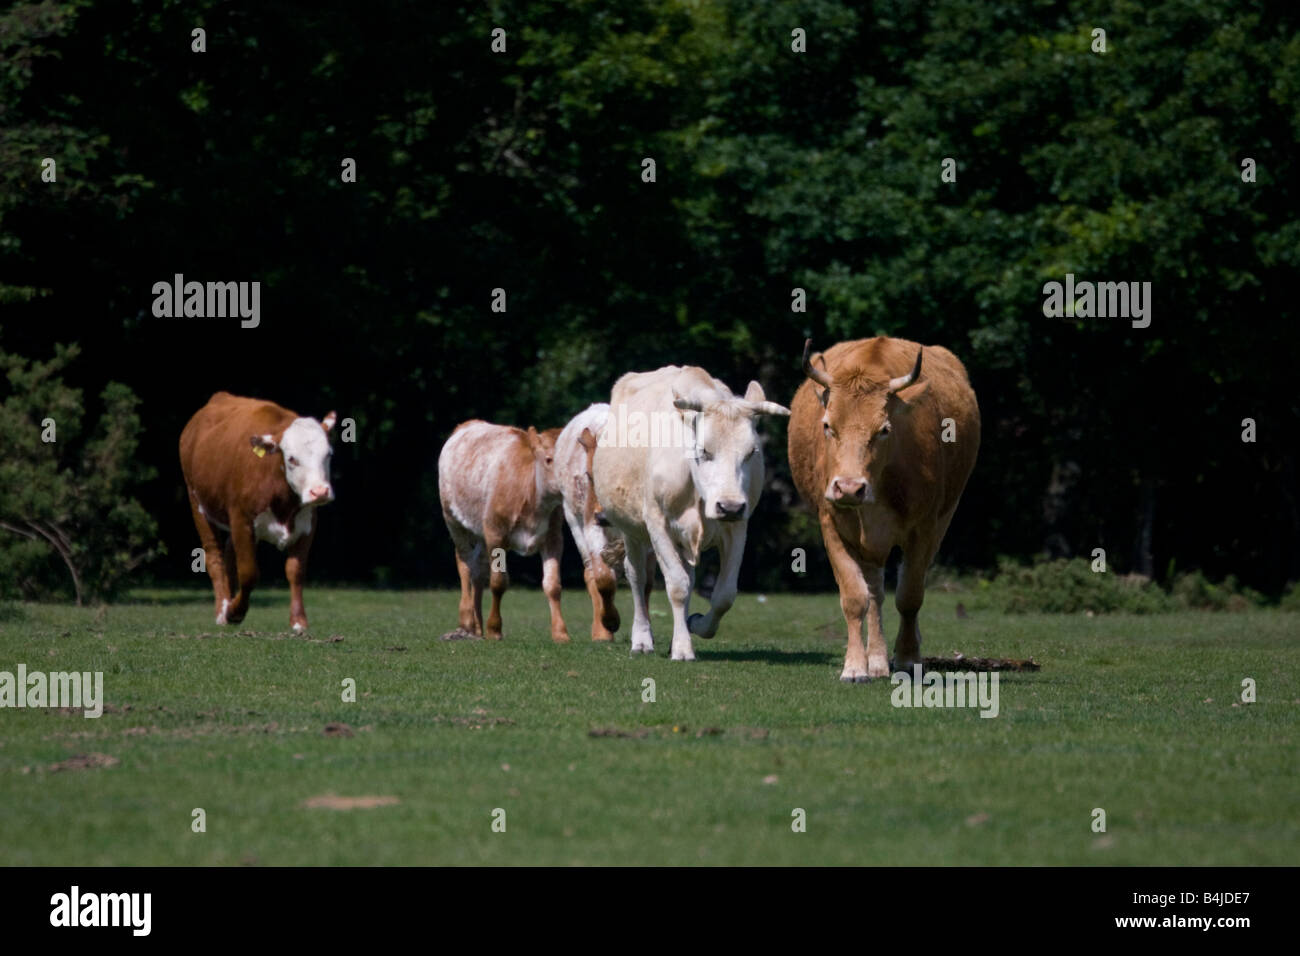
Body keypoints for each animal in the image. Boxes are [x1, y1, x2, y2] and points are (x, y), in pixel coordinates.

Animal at [179, 392, 337, 632]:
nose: (319, 491)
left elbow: (295, 570)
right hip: (197, 501)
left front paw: (298, 621)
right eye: (292, 458)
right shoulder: (242, 520)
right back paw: (222, 609)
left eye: (328, 454)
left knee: (228, 554)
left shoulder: (308, 523)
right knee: (214, 557)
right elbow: (249, 573)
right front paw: (234, 612)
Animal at [437, 420, 568, 641]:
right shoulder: (495, 533)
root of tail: (468, 424)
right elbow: (498, 582)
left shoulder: (553, 538)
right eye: (549, 459)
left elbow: (553, 585)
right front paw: (494, 629)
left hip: (480, 530)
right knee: (464, 564)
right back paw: (466, 621)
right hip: (453, 519)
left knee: (477, 570)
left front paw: (560, 633)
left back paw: (477, 628)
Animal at [556, 404, 625, 641]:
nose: (602, 516)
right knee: (591, 573)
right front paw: (610, 621)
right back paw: (602, 632)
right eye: (589, 474)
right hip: (573, 519)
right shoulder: (590, 525)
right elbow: (603, 578)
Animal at [592, 366, 789, 660]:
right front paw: (683, 649)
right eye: (703, 450)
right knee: (636, 574)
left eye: (752, 451)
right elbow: (677, 585)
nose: (729, 506)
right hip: (631, 529)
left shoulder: (737, 527)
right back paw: (642, 639)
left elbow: (724, 595)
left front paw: (695, 625)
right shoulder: (657, 524)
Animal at [789, 337, 980, 681]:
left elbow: (910, 595)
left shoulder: (924, 528)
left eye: (884, 429)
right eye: (827, 426)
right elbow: (855, 598)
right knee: (875, 592)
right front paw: (855, 666)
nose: (849, 487)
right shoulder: (831, 525)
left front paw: (907, 658)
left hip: (943, 519)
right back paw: (875, 660)